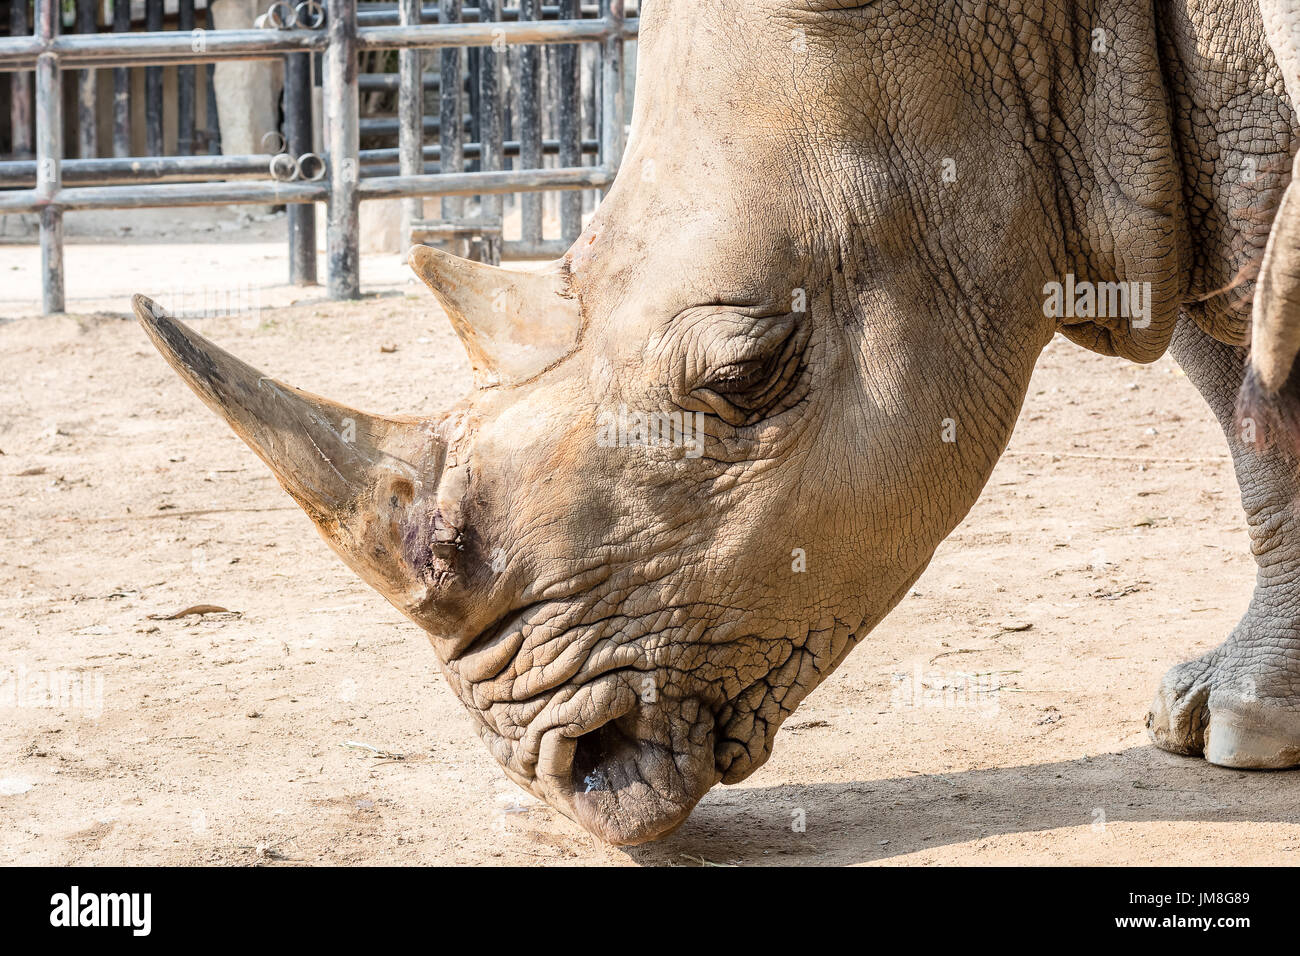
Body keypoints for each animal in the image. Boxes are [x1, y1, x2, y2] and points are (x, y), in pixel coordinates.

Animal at [133, 0, 1300, 845]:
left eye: (745, 372)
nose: (575, 778)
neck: (1048, 33)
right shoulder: (1154, 180)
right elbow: (1247, 402)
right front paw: (1237, 718)